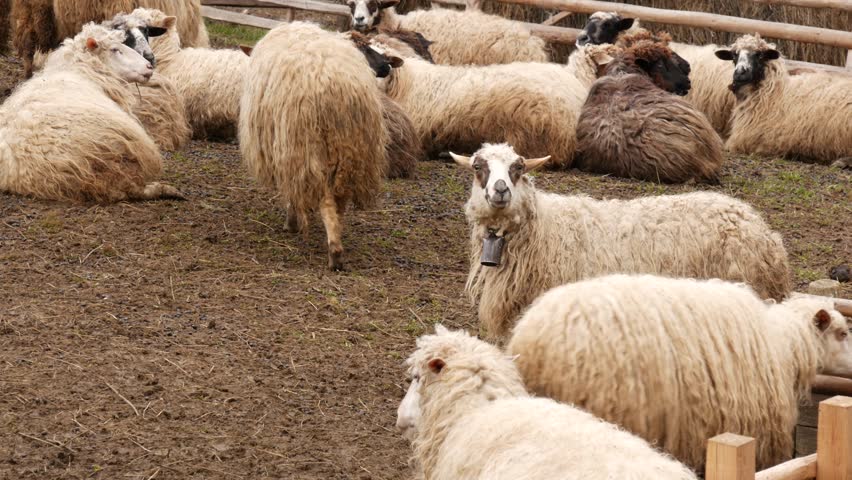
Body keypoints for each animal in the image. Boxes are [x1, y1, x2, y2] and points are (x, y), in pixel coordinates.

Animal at [240, 22, 388, 270]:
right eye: (367, 49)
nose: (387, 66)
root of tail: (337, 88)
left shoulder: (288, 152)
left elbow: (292, 191)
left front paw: (291, 222)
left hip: (308, 146)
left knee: (326, 200)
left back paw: (334, 253)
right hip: (350, 152)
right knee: (340, 201)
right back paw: (335, 237)